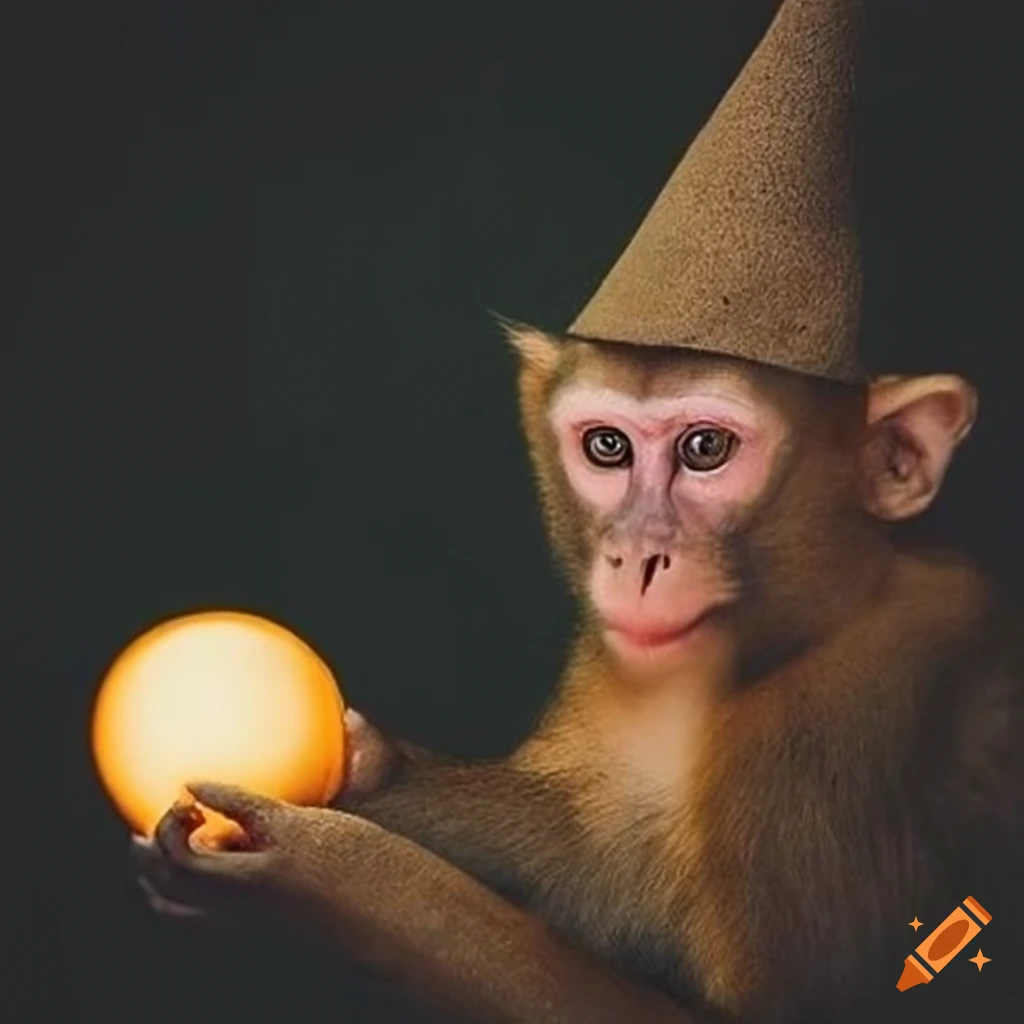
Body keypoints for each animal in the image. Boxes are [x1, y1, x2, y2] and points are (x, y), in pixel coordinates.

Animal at [133, 327, 1024, 1023]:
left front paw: (323, 870)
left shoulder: (832, 725)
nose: (635, 558)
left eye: (706, 449)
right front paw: (371, 767)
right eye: (608, 446)